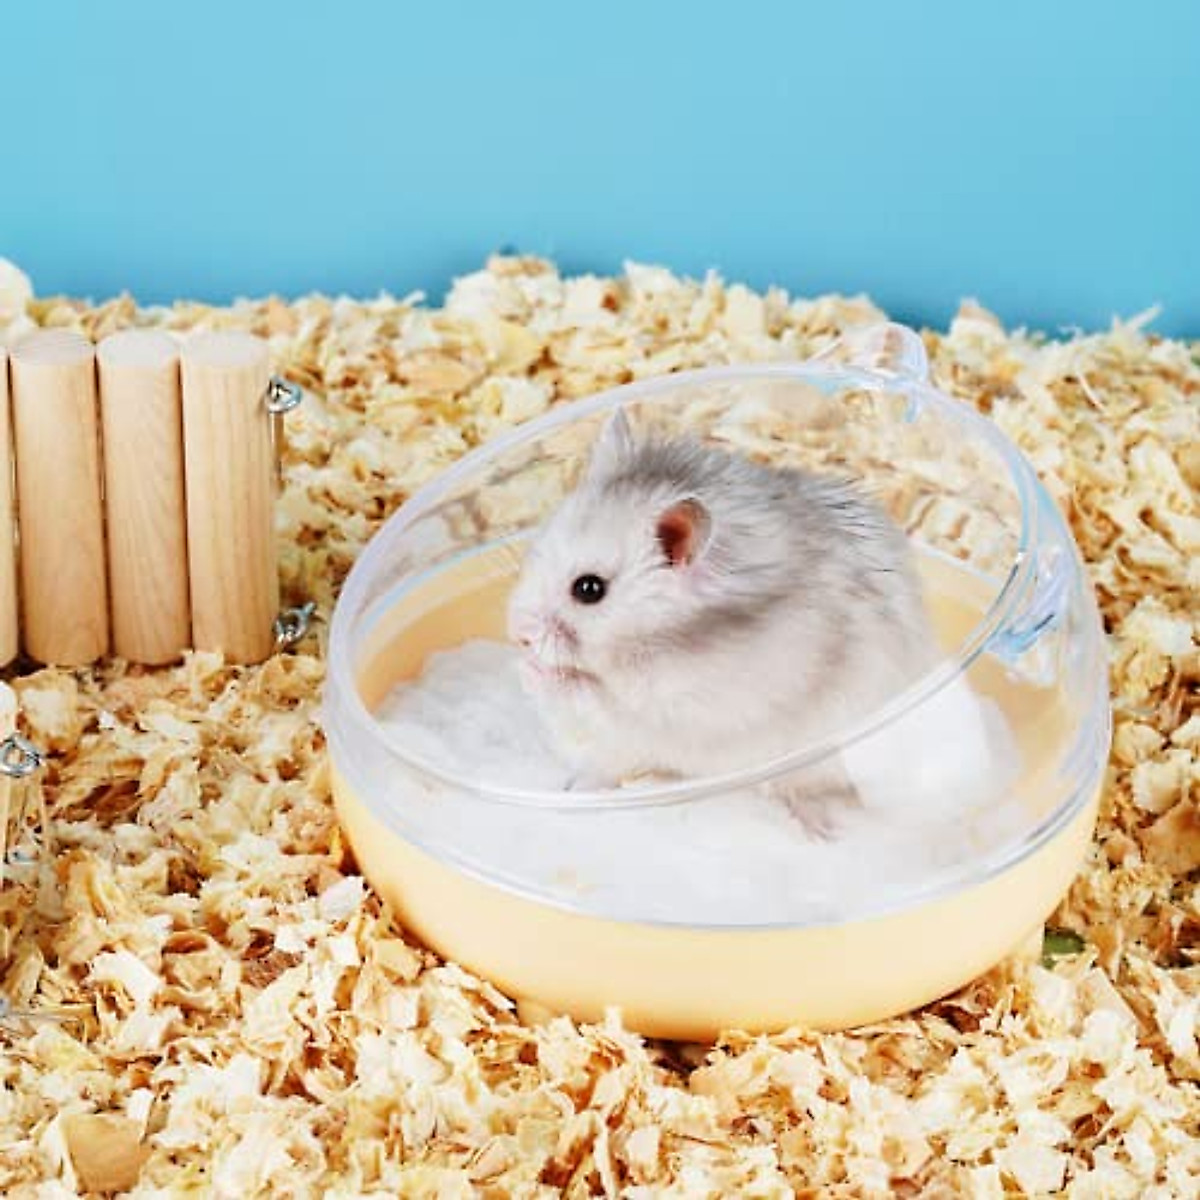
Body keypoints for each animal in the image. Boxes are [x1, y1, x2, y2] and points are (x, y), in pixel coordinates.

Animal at [506, 408, 940, 831]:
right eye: (537, 549)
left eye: (589, 589)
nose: (518, 634)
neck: (661, 641)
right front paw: (525, 665)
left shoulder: (691, 708)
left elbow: (607, 700)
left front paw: (537, 669)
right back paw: (574, 790)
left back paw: (819, 829)